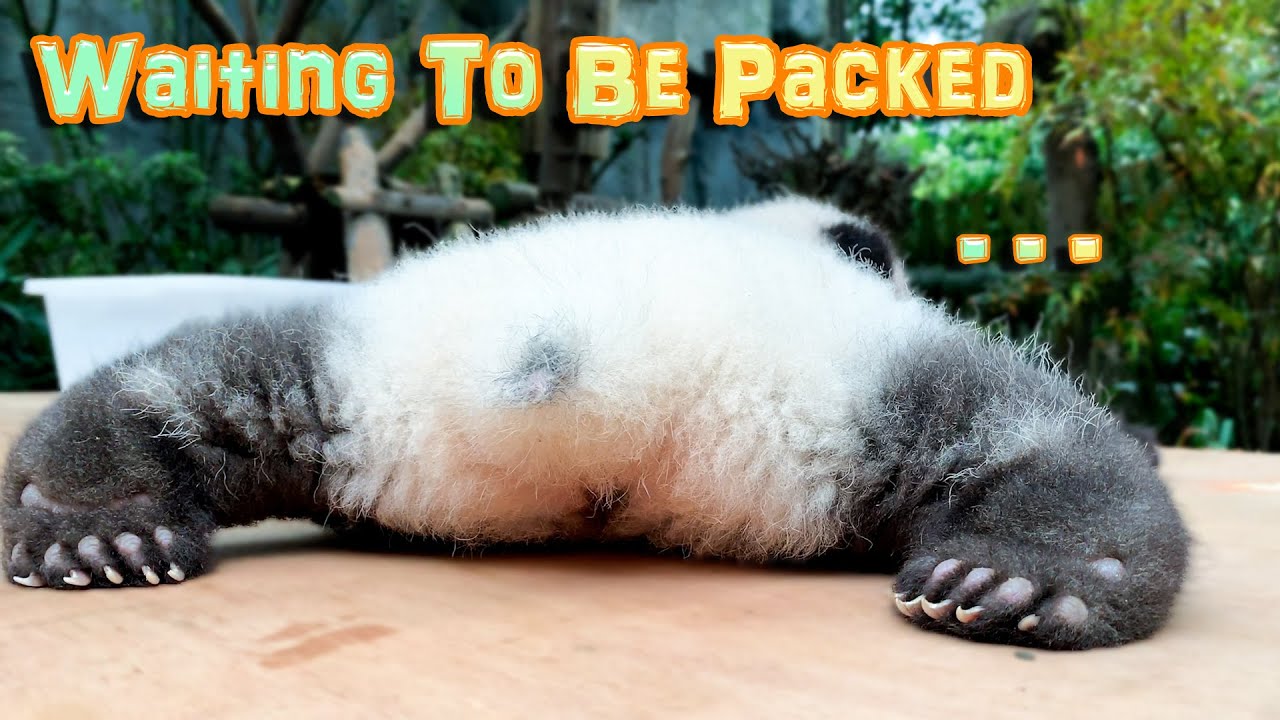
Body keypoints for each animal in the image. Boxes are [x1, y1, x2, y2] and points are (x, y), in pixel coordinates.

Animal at [0, 196, 1189, 651]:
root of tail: (589, 341)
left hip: (353, 378)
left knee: (216, 375)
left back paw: (91, 518)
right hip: (861, 370)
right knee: (1036, 422)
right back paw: (1027, 577)